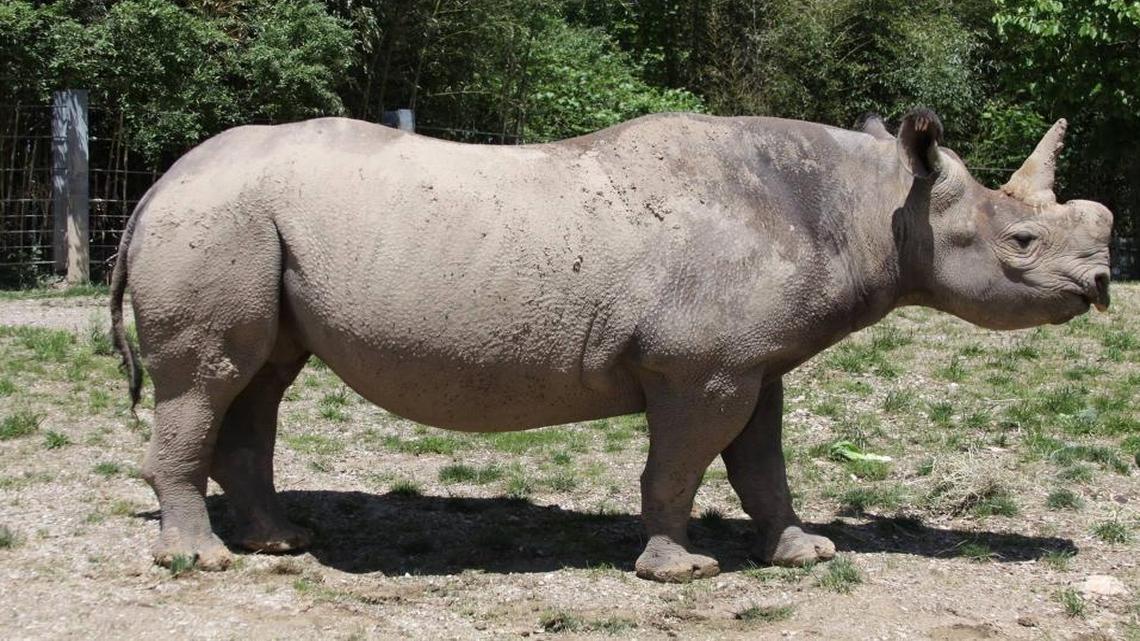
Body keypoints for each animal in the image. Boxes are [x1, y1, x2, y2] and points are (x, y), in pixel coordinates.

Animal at [110, 108, 1112, 582]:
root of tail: (157, 184)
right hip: (219, 218)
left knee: (262, 380)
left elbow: (763, 464)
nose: (1100, 283)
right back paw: (201, 561)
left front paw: (805, 553)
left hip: (246, 223)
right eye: (1023, 242)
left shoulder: (755, 360)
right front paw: (681, 571)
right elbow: (680, 464)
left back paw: (282, 543)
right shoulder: (702, 365)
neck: (872, 209)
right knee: (210, 379)